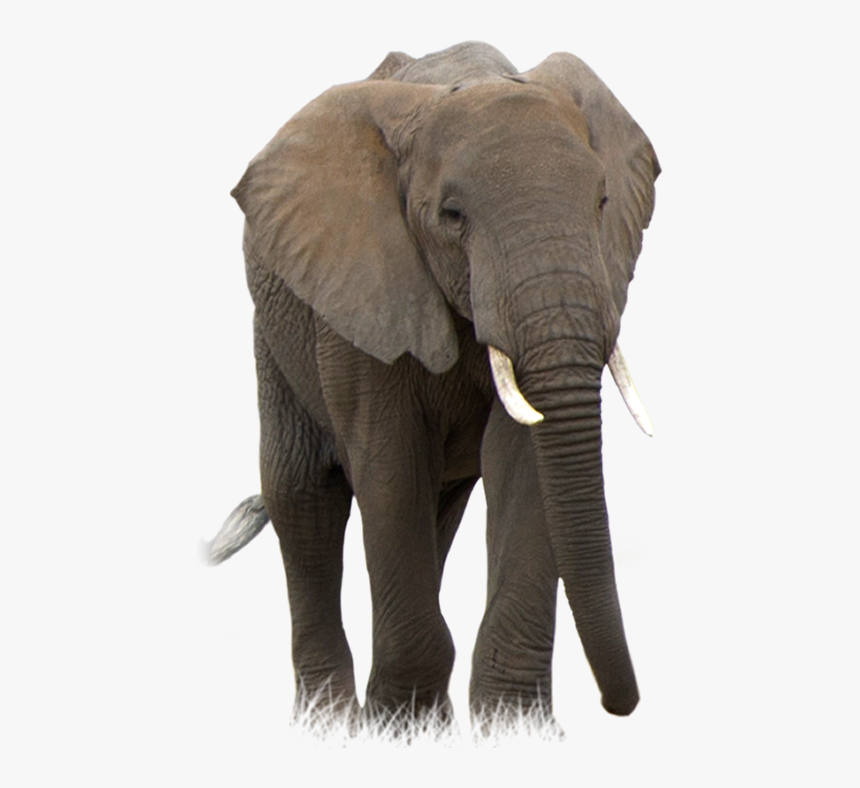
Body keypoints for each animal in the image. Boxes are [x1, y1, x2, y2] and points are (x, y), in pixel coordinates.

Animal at [204, 41, 660, 729]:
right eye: (452, 216)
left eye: (603, 202)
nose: (620, 705)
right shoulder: (364, 282)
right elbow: (390, 464)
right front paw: (398, 729)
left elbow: (523, 462)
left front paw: (515, 730)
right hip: (276, 328)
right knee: (301, 494)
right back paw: (329, 725)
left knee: (436, 510)